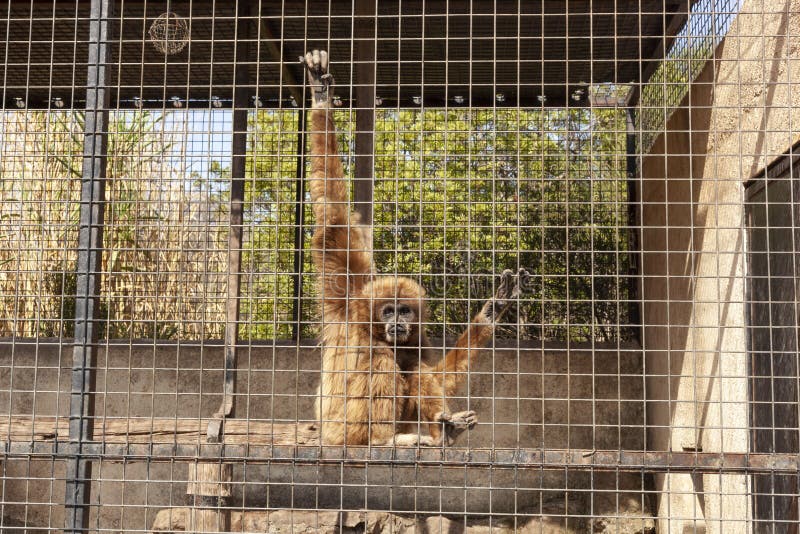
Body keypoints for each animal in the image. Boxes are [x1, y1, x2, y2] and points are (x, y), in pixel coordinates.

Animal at [301, 49, 529, 446]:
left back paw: (446, 432)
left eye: (405, 311)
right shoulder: (347, 295)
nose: (397, 322)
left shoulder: (410, 331)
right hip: (341, 433)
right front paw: (321, 94)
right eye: (389, 311)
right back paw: (384, 441)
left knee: (412, 367)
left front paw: (492, 311)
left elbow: (433, 371)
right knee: (379, 358)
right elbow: (333, 215)